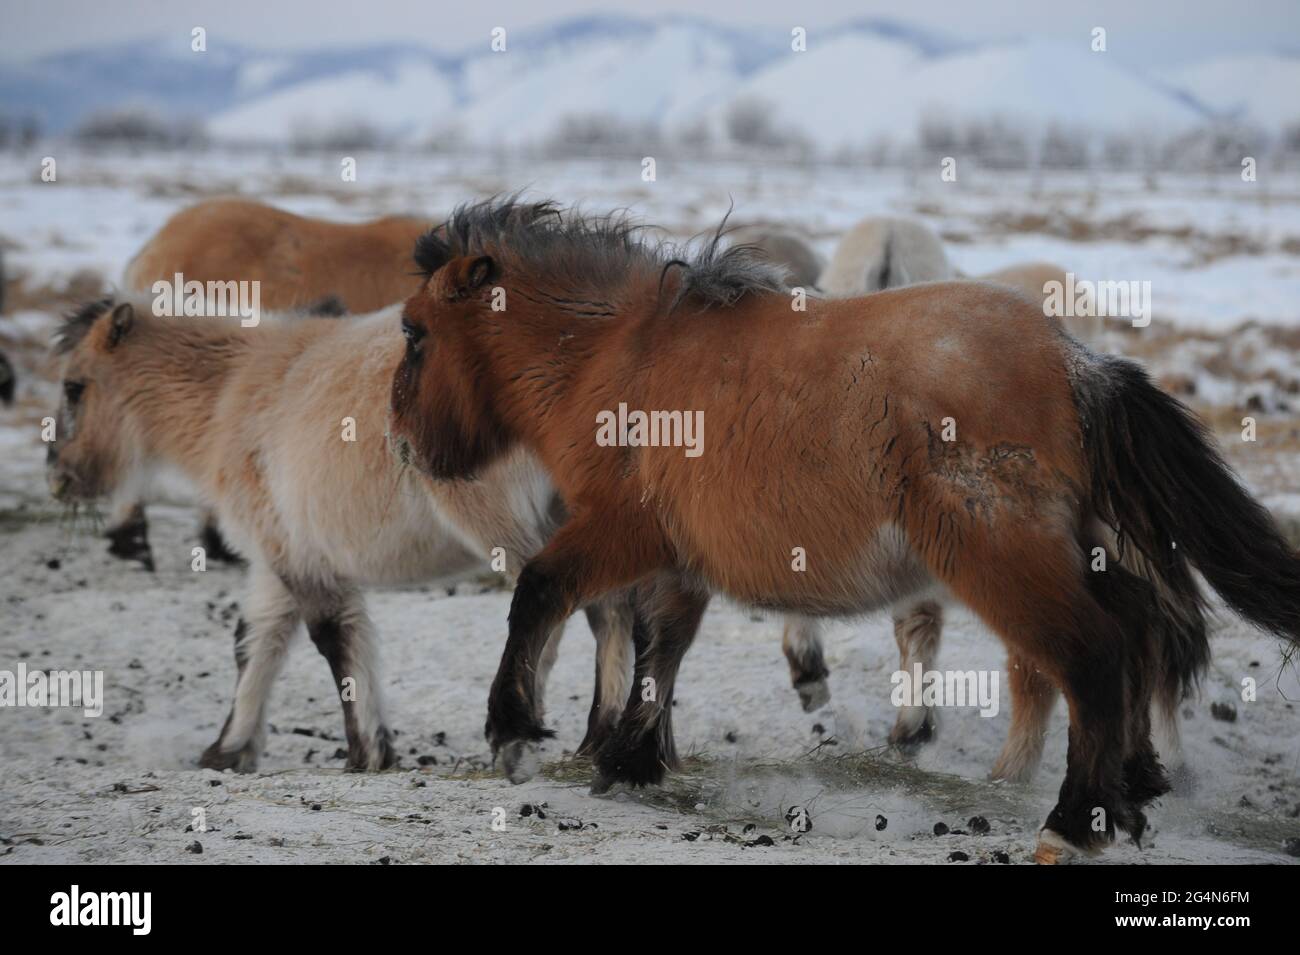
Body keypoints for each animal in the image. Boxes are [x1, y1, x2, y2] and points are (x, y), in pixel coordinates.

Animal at [45, 294, 639, 773]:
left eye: (74, 388)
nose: (56, 478)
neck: (230, 394)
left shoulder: (300, 563)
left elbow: (336, 641)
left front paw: (366, 754)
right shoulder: (280, 559)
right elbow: (256, 643)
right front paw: (229, 750)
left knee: (553, 611)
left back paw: (521, 740)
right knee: (608, 610)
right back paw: (596, 741)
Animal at [386, 198, 1300, 862]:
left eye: (415, 332)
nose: (401, 440)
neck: (616, 356)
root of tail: (1075, 364)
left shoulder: (622, 530)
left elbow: (542, 593)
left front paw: (514, 729)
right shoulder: (679, 561)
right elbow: (661, 653)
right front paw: (630, 759)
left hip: (1004, 561)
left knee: (1095, 656)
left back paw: (1074, 822)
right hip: (1086, 550)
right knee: (1142, 638)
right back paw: (1132, 792)